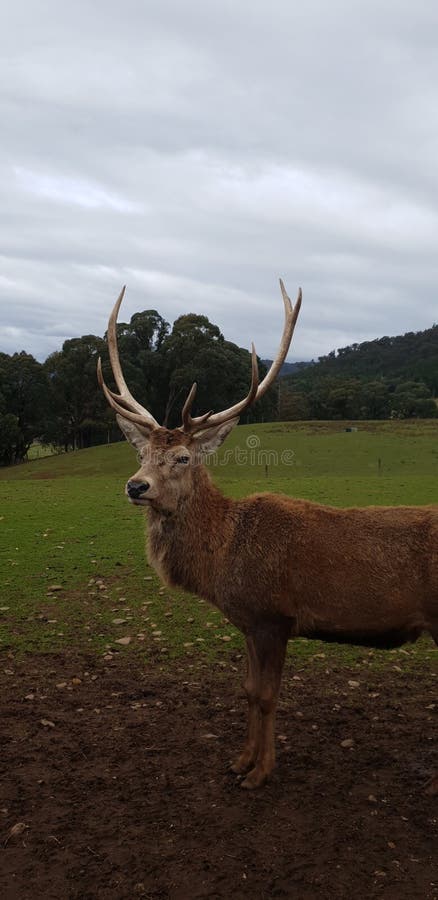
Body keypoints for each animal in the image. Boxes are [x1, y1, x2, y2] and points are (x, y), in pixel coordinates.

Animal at [98, 281, 438, 793]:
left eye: (182, 457)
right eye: (141, 452)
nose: (136, 486)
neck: (222, 559)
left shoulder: (272, 616)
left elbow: (266, 695)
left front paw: (260, 772)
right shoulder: (248, 622)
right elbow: (246, 689)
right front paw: (239, 761)